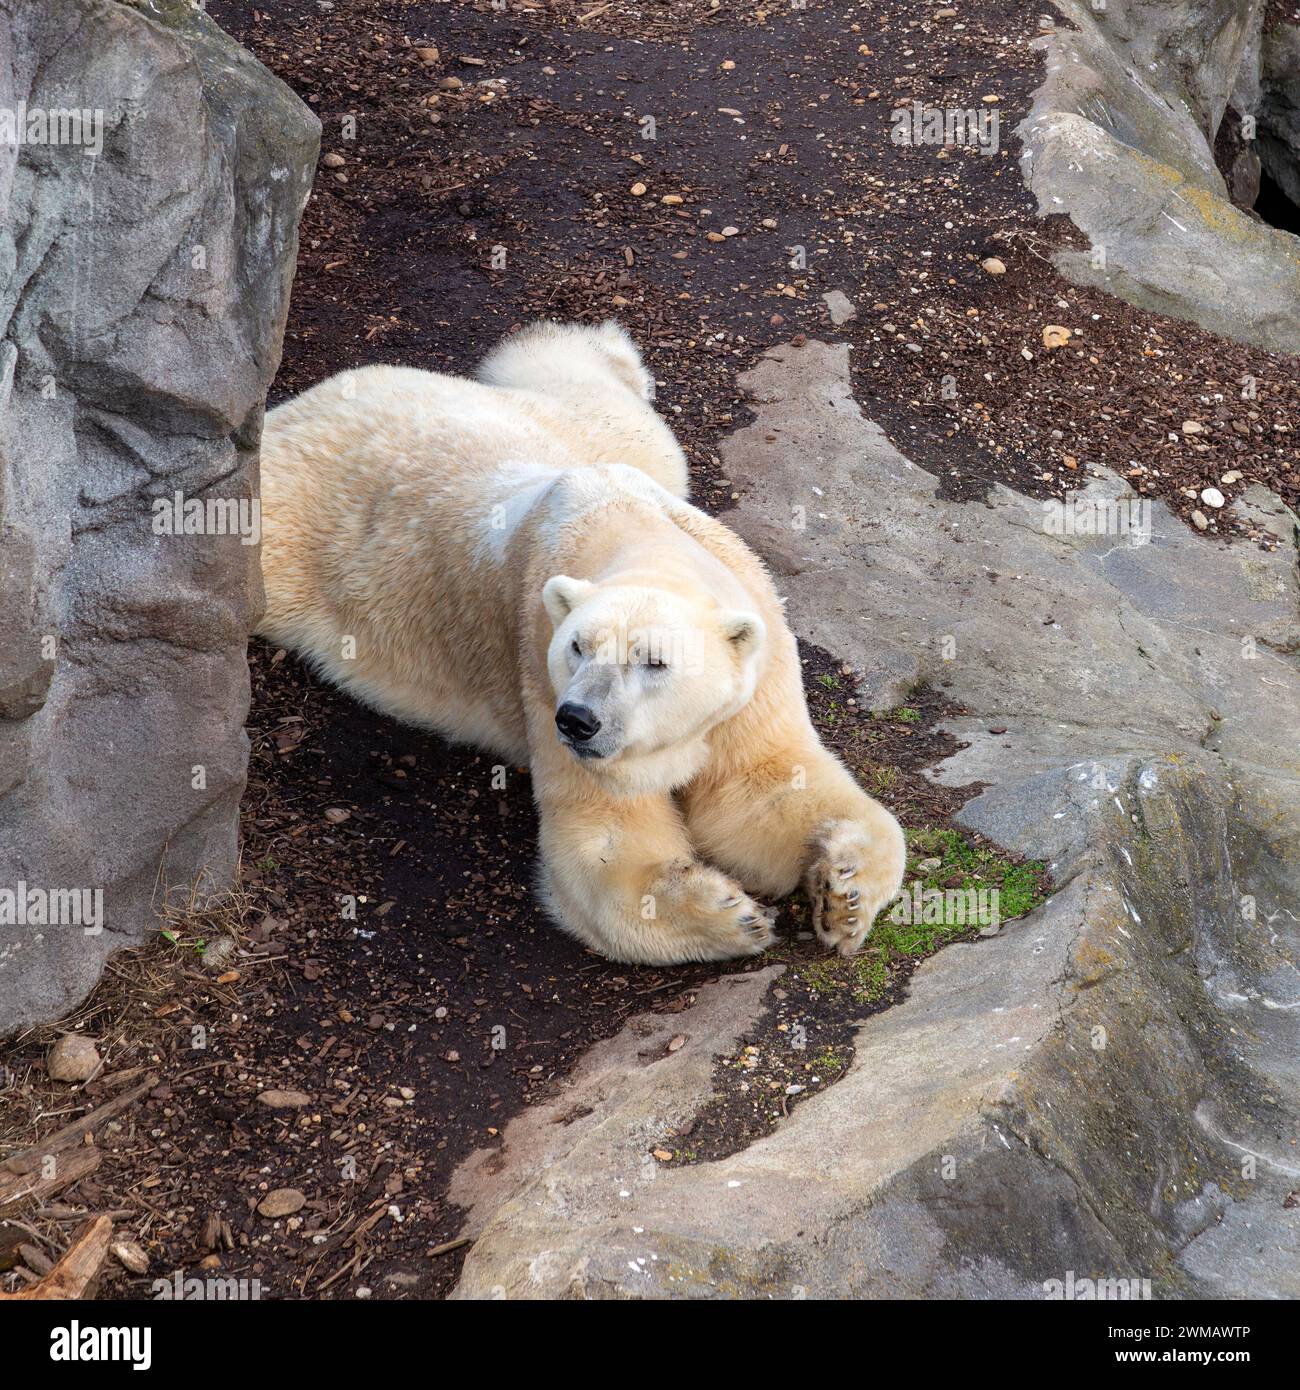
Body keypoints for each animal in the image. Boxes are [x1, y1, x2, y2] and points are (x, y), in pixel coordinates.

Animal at [256, 320, 906, 965]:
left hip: (580, 434)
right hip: (282, 534)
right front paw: (730, 912)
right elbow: (605, 837)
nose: (579, 721)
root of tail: (298, 408)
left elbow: (763, 787)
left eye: (654, 661)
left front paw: (844, 894)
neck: (628, 530)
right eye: (578, 648)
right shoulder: (538, 667)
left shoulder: (755, 665)